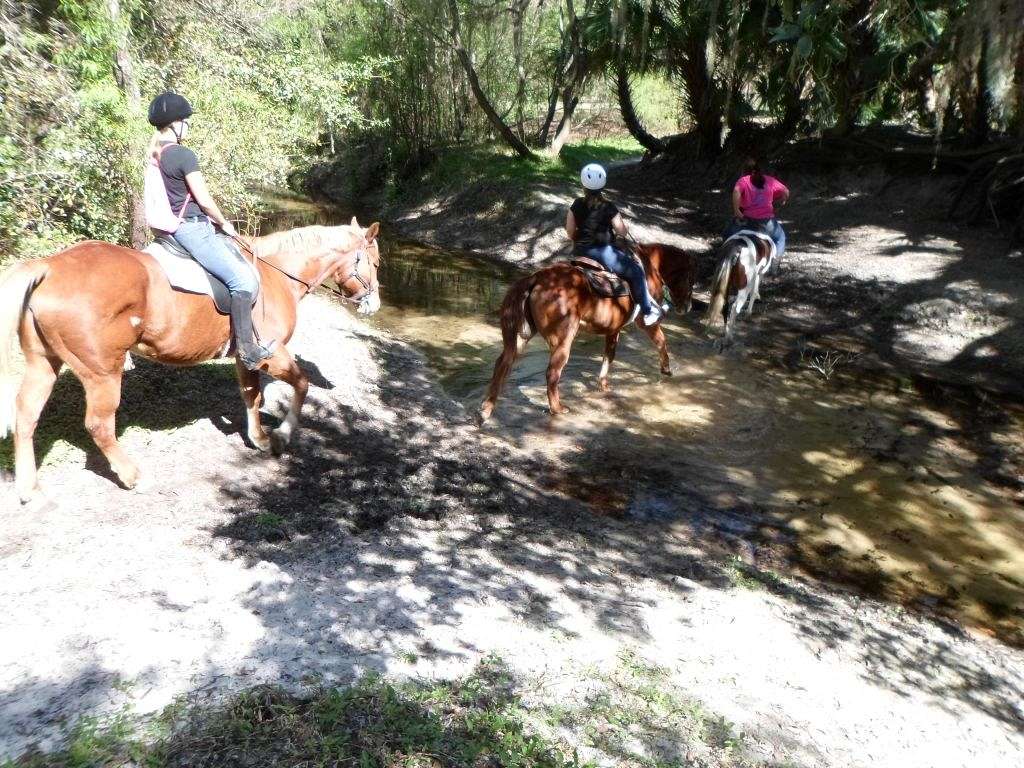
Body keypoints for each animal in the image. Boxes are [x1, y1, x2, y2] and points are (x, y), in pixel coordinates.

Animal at [0, 218, 381, 504]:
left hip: (44, 362)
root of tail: (49, 267)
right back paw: (133, 475)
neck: (278, 275)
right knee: (98, 425)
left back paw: (29, 488)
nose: (374, 305)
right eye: (375, 263)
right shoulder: (271, 353)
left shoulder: (245, 357)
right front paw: (282, 435)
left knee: (26, 414)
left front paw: (258, 438)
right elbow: (301, 384)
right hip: (102, 373)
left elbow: (251, 395)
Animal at [479, 243, 697, 422]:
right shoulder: (645, 323)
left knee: (503, 363)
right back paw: (557, 408)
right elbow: (661, 340)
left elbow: (609, 355)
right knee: (552, 372)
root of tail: (536, 278)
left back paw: (486, 410)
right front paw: (666, 369)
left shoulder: (614, 328)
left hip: (521, 335)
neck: (650, 267)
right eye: (690, 279)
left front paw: (603, 385)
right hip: (563, 339)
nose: (687, 307)